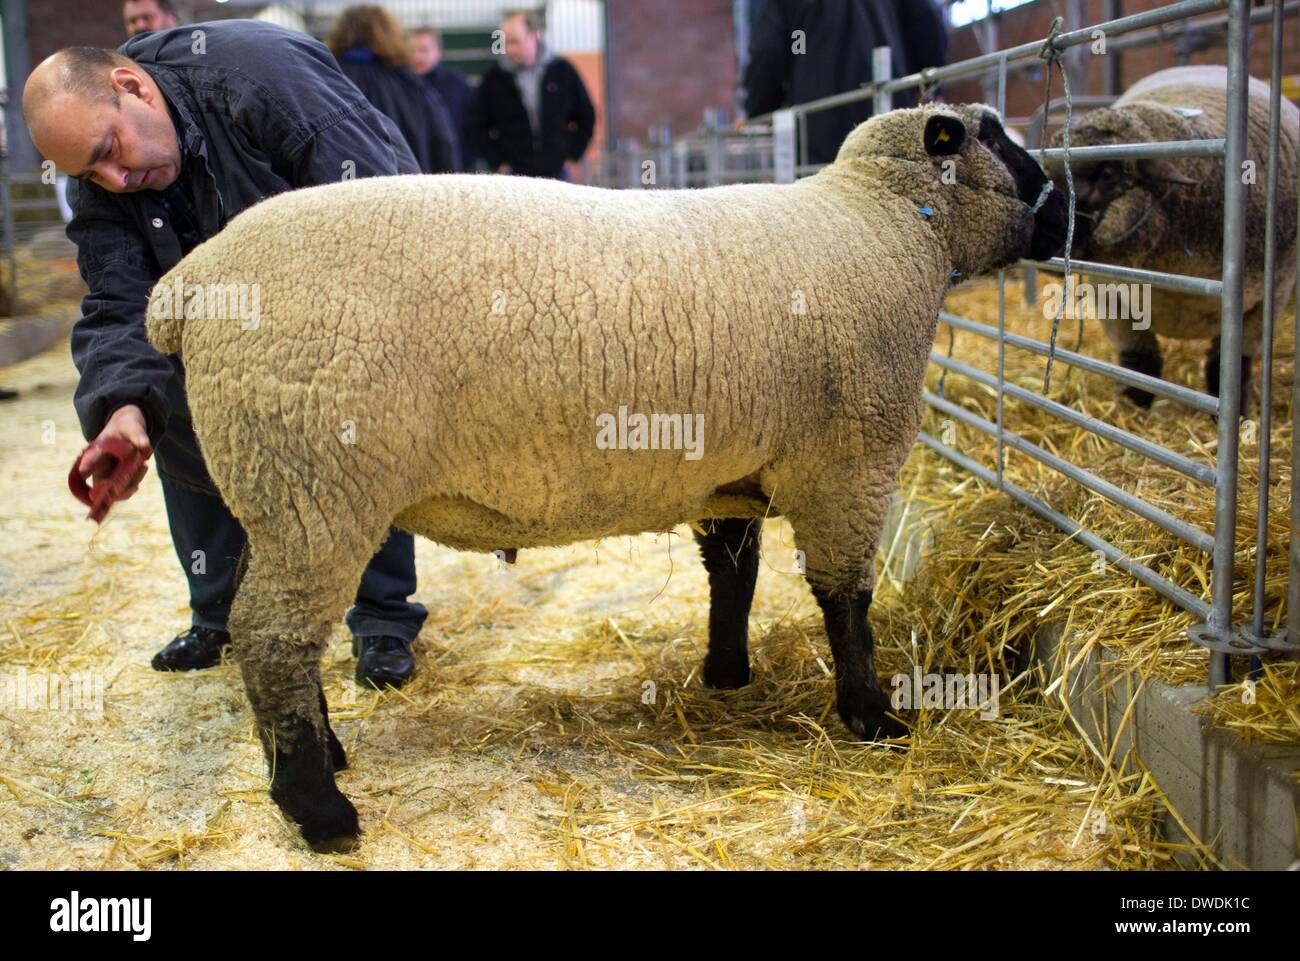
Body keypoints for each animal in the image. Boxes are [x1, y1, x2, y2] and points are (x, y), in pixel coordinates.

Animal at [145, 102, 1066, 850]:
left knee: (272, 631)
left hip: (284, 493)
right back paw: (318, 807)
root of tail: (185, 285)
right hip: (314, 485)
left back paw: (321, 757)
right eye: (997, 136)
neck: (890, 224)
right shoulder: (848, 462)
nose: (1065, 205)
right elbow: (846, 601)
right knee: (272, 637)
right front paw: (872, 714)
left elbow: (733, 573)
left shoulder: (731, 466)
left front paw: (727, 673)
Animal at [1054, 65, 1299, 409]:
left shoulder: (1269, 298)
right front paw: (1133, 406)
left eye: (1108, 175)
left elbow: (1228, 368)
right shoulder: (1110, 295)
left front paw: (1236, 412)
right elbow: (1139, 363)